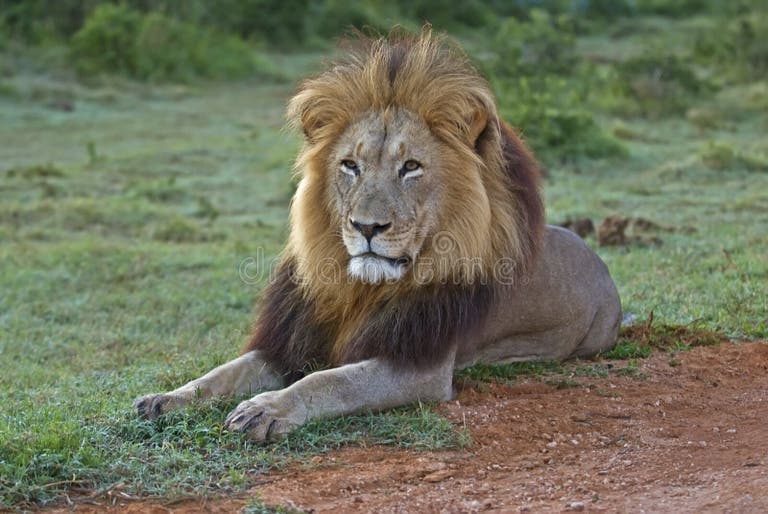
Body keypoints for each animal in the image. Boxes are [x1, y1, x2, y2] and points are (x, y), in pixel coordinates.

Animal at [134, 29, 621, 441]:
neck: (358, 289)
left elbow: (332, 381)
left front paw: (267, 409)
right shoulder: (294, 337)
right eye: (351, 165)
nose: (367, 227)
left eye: (411, 168)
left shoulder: (420, 365)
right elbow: (224, 372)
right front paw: (166, 399)